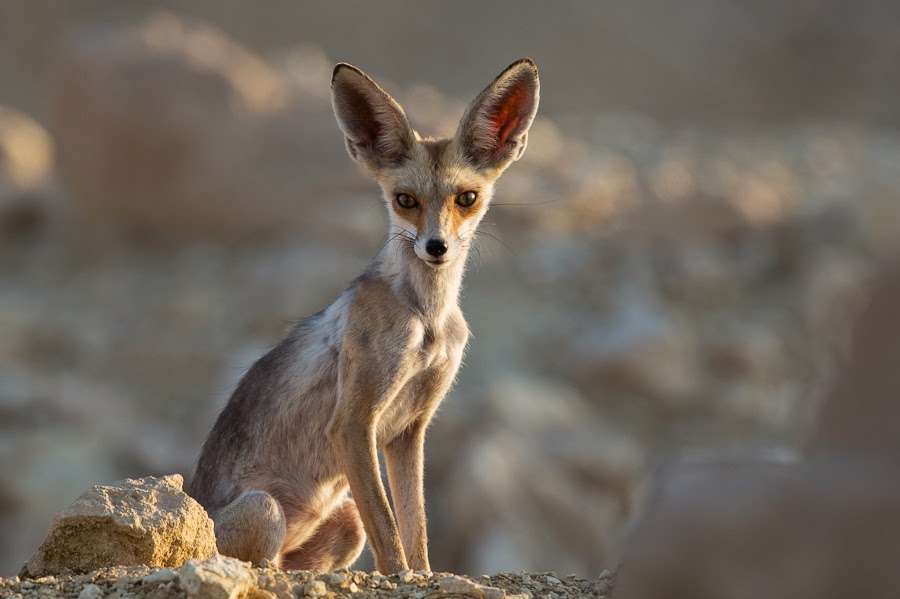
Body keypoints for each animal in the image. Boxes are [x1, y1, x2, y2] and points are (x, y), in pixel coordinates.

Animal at [188, 58, 540, 574]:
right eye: (405, 200)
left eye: (467, 198)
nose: (436, 247)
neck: (427, 321)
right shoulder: (354, 423)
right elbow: (390, 535)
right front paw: (402, 577)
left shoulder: (410, 430)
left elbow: (415, 528)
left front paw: (424, 575)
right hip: (263, 510)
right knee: (260, 565)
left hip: (345, 526)